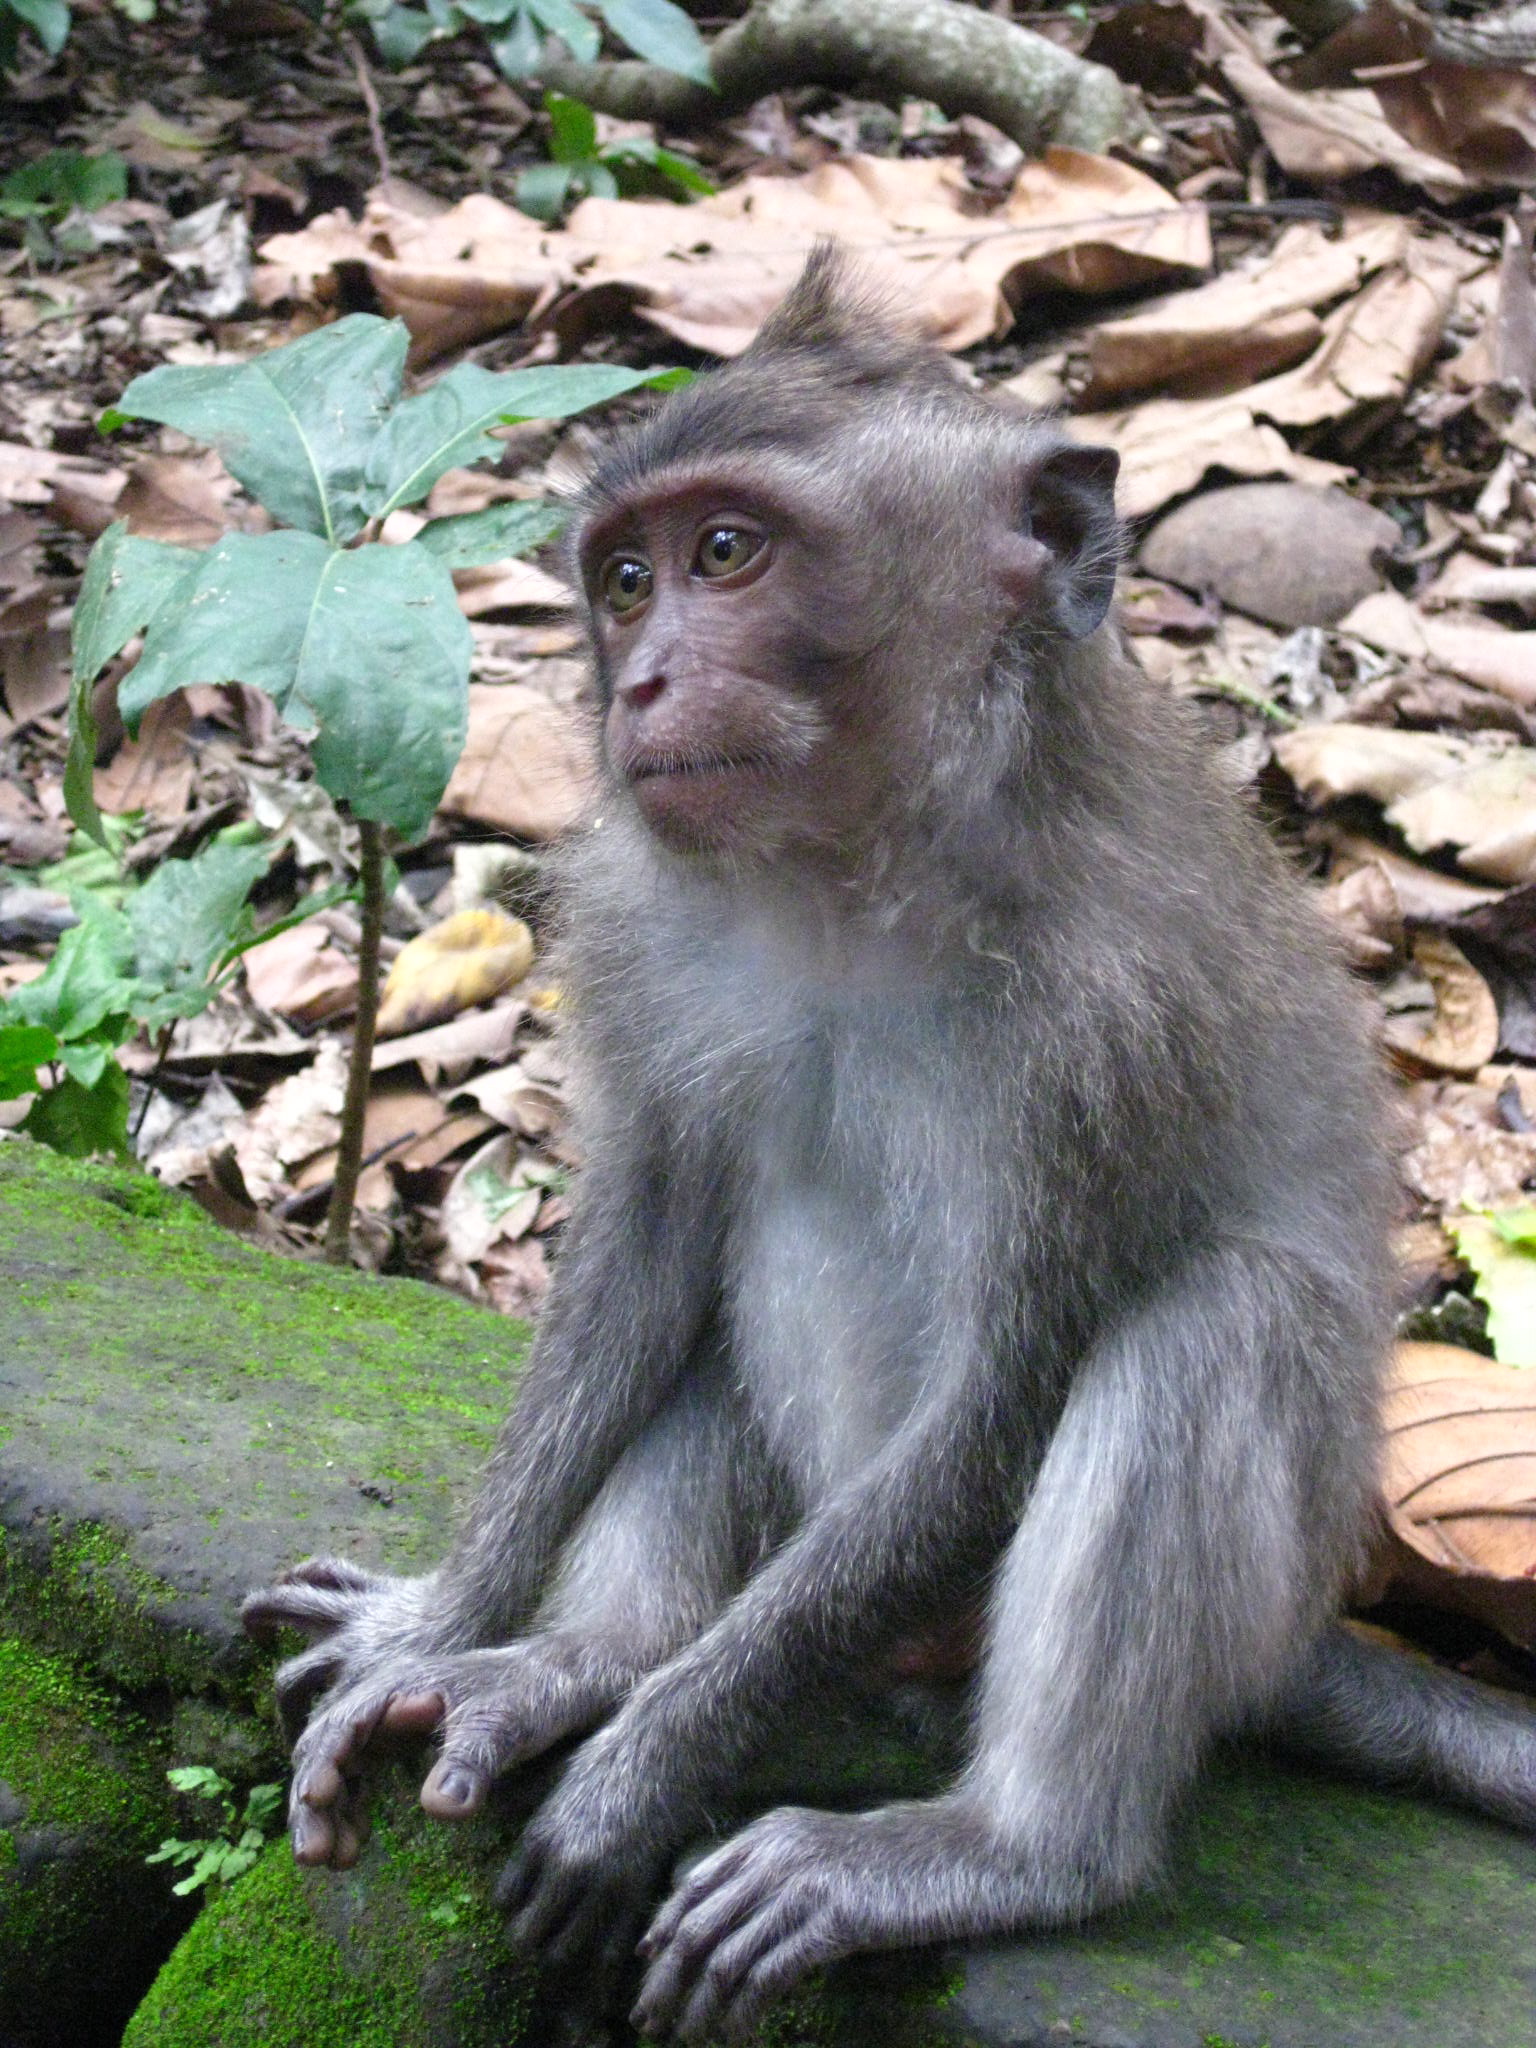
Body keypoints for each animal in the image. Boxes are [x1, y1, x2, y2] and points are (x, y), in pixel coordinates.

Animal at [243, 247, 1536, 2043]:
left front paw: (649, 1766)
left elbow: (1005, 1389)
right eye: (625, 580)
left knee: (1223, 1324)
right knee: (734, 1267)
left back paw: (1003, 1846)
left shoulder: (1112, 1020)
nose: (637, 685)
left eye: (726, 554)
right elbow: (649, 1242)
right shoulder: (632, 919)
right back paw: (587, 1659)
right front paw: (445, 1621)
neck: (858, 874)